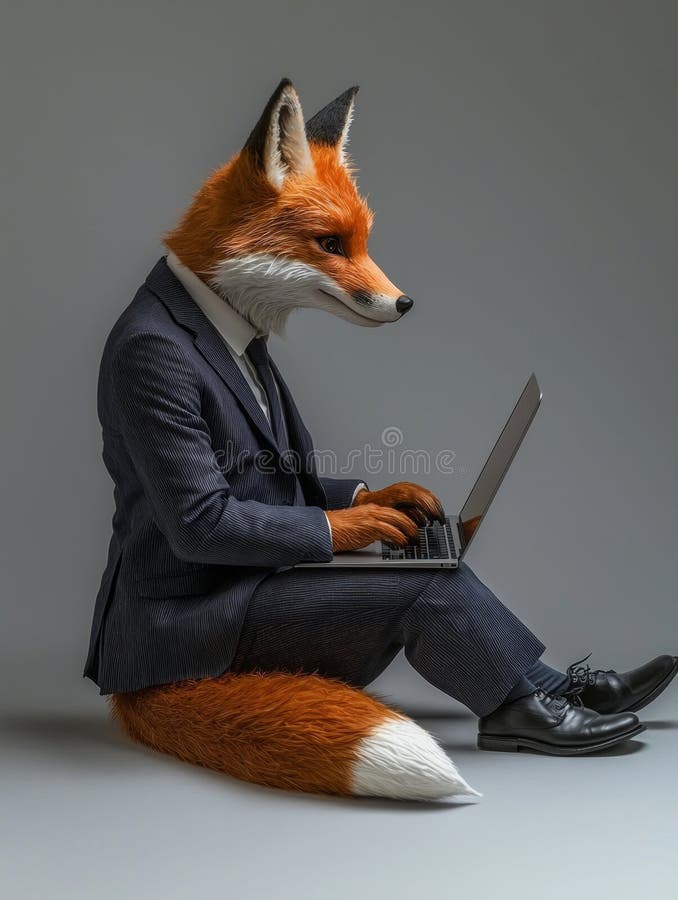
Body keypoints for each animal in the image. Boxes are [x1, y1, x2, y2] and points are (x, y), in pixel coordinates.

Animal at [109, 79, 479, 802]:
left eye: (363, 241)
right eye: (330, 244)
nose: (404, 303)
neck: (227, 325)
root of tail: (124, 683)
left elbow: (326, 488)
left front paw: (397, 496)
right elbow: (228, 516)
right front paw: (369, 521)